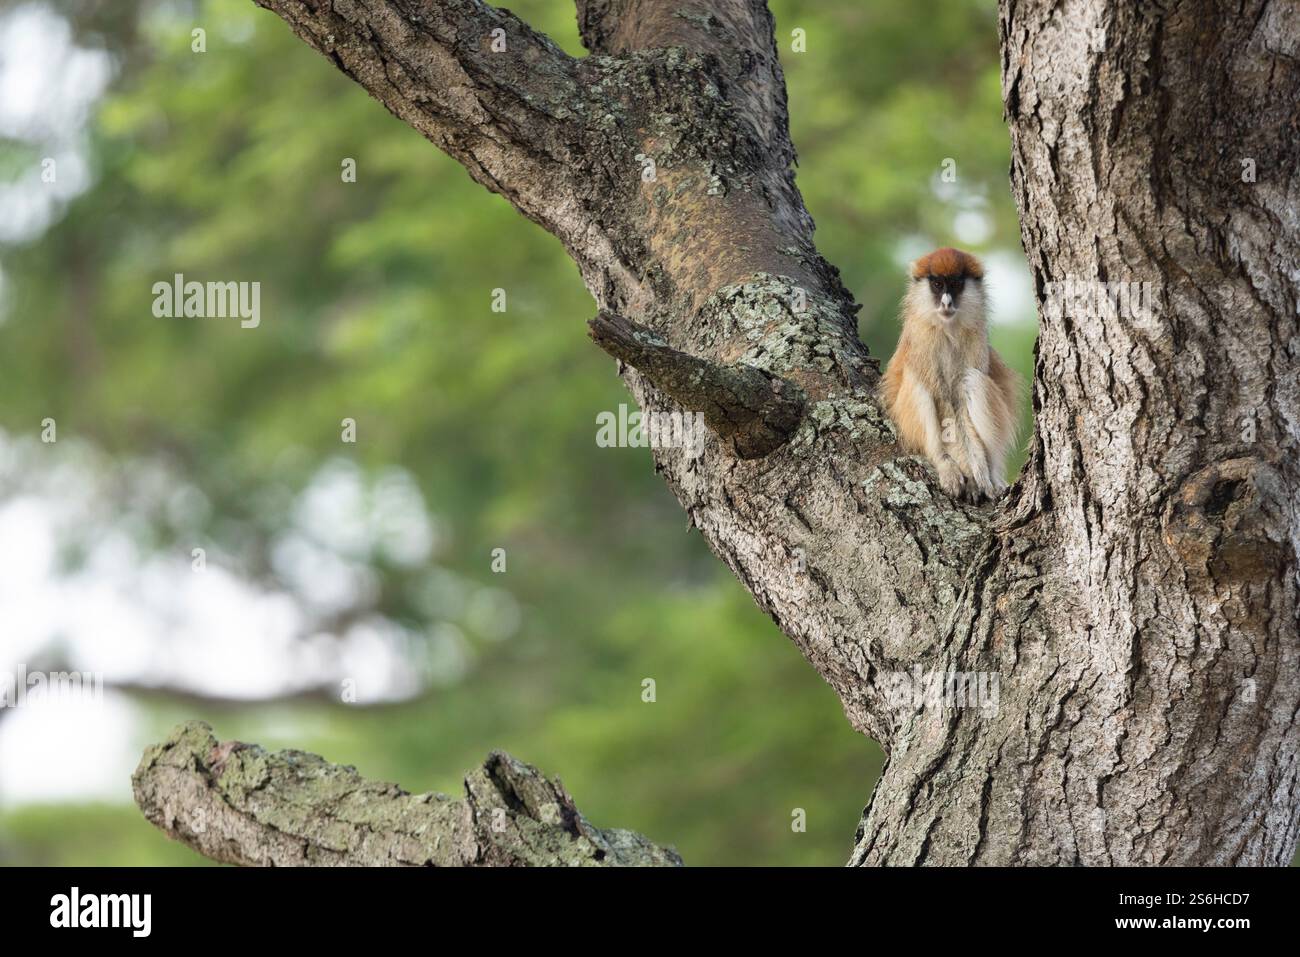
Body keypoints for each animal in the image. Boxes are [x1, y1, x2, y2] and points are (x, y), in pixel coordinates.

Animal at [881, 247, 1021, 502]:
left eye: (956, 283)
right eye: (937, 284)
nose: (946, 302)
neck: (948, 329)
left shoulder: (975, 338)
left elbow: (961, 403)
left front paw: (979, 474)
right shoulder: (922, 338)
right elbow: (943, 403)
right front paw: (955, 470)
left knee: (974, 380)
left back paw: (991, 473)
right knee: (918, 382)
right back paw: (943, 462)